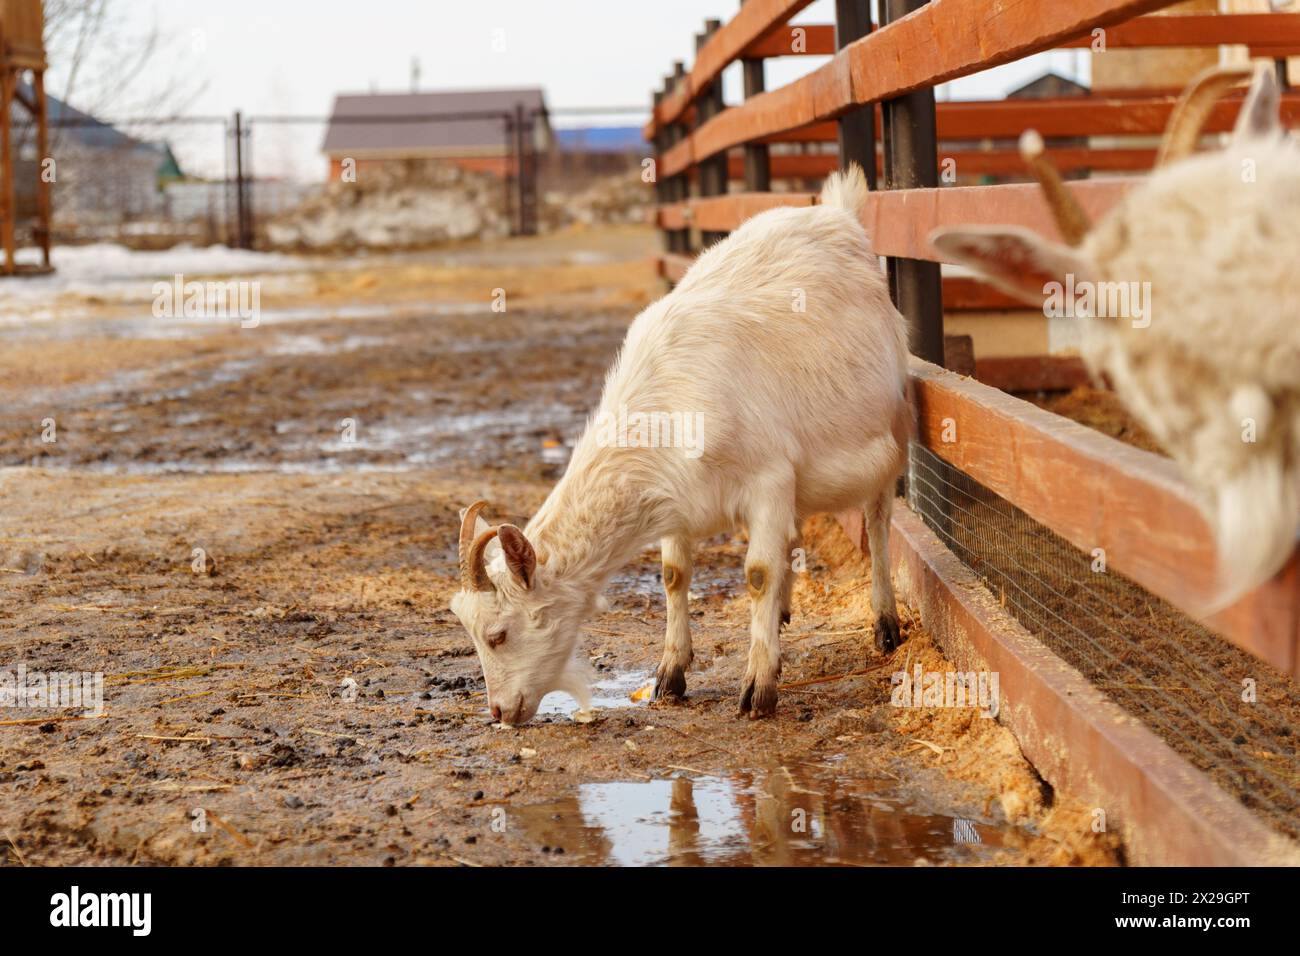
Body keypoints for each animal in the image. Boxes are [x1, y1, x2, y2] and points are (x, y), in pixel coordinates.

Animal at [451, 165, 912, 725]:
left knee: (879, 521)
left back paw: (884, 622)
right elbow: (674, 573)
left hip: (889, 433)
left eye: (498, 634)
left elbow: (757, 573)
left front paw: (759, 686)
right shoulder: (676, 494)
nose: (500, 711)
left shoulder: (767, 480)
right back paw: (783, 610)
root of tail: (838, 211)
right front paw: (670, 674)